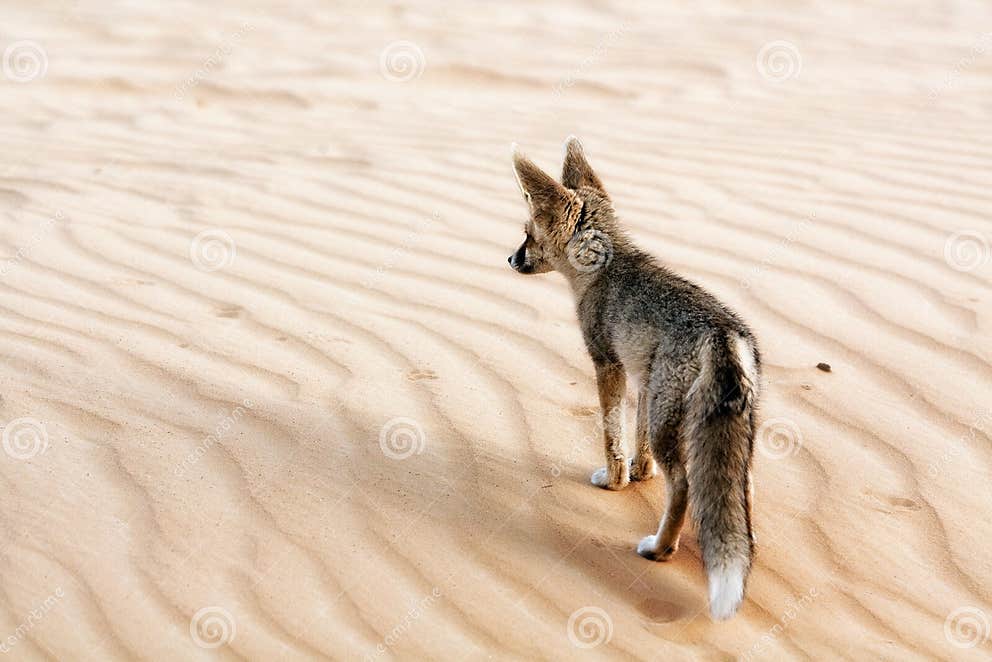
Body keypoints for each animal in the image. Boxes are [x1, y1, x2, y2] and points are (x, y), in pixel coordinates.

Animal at [507, 137, 761, 620]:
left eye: (528, 234)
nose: (509, 258)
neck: (601, 268)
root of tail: (721, 331)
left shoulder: (607, 365)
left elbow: (612, 437)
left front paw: (615, 481)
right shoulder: (642, 379)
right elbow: (636, 439)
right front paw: (641, 475)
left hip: (671, 424)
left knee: (683, 485)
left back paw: (660, 548)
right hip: (716, 431)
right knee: (728, 496)